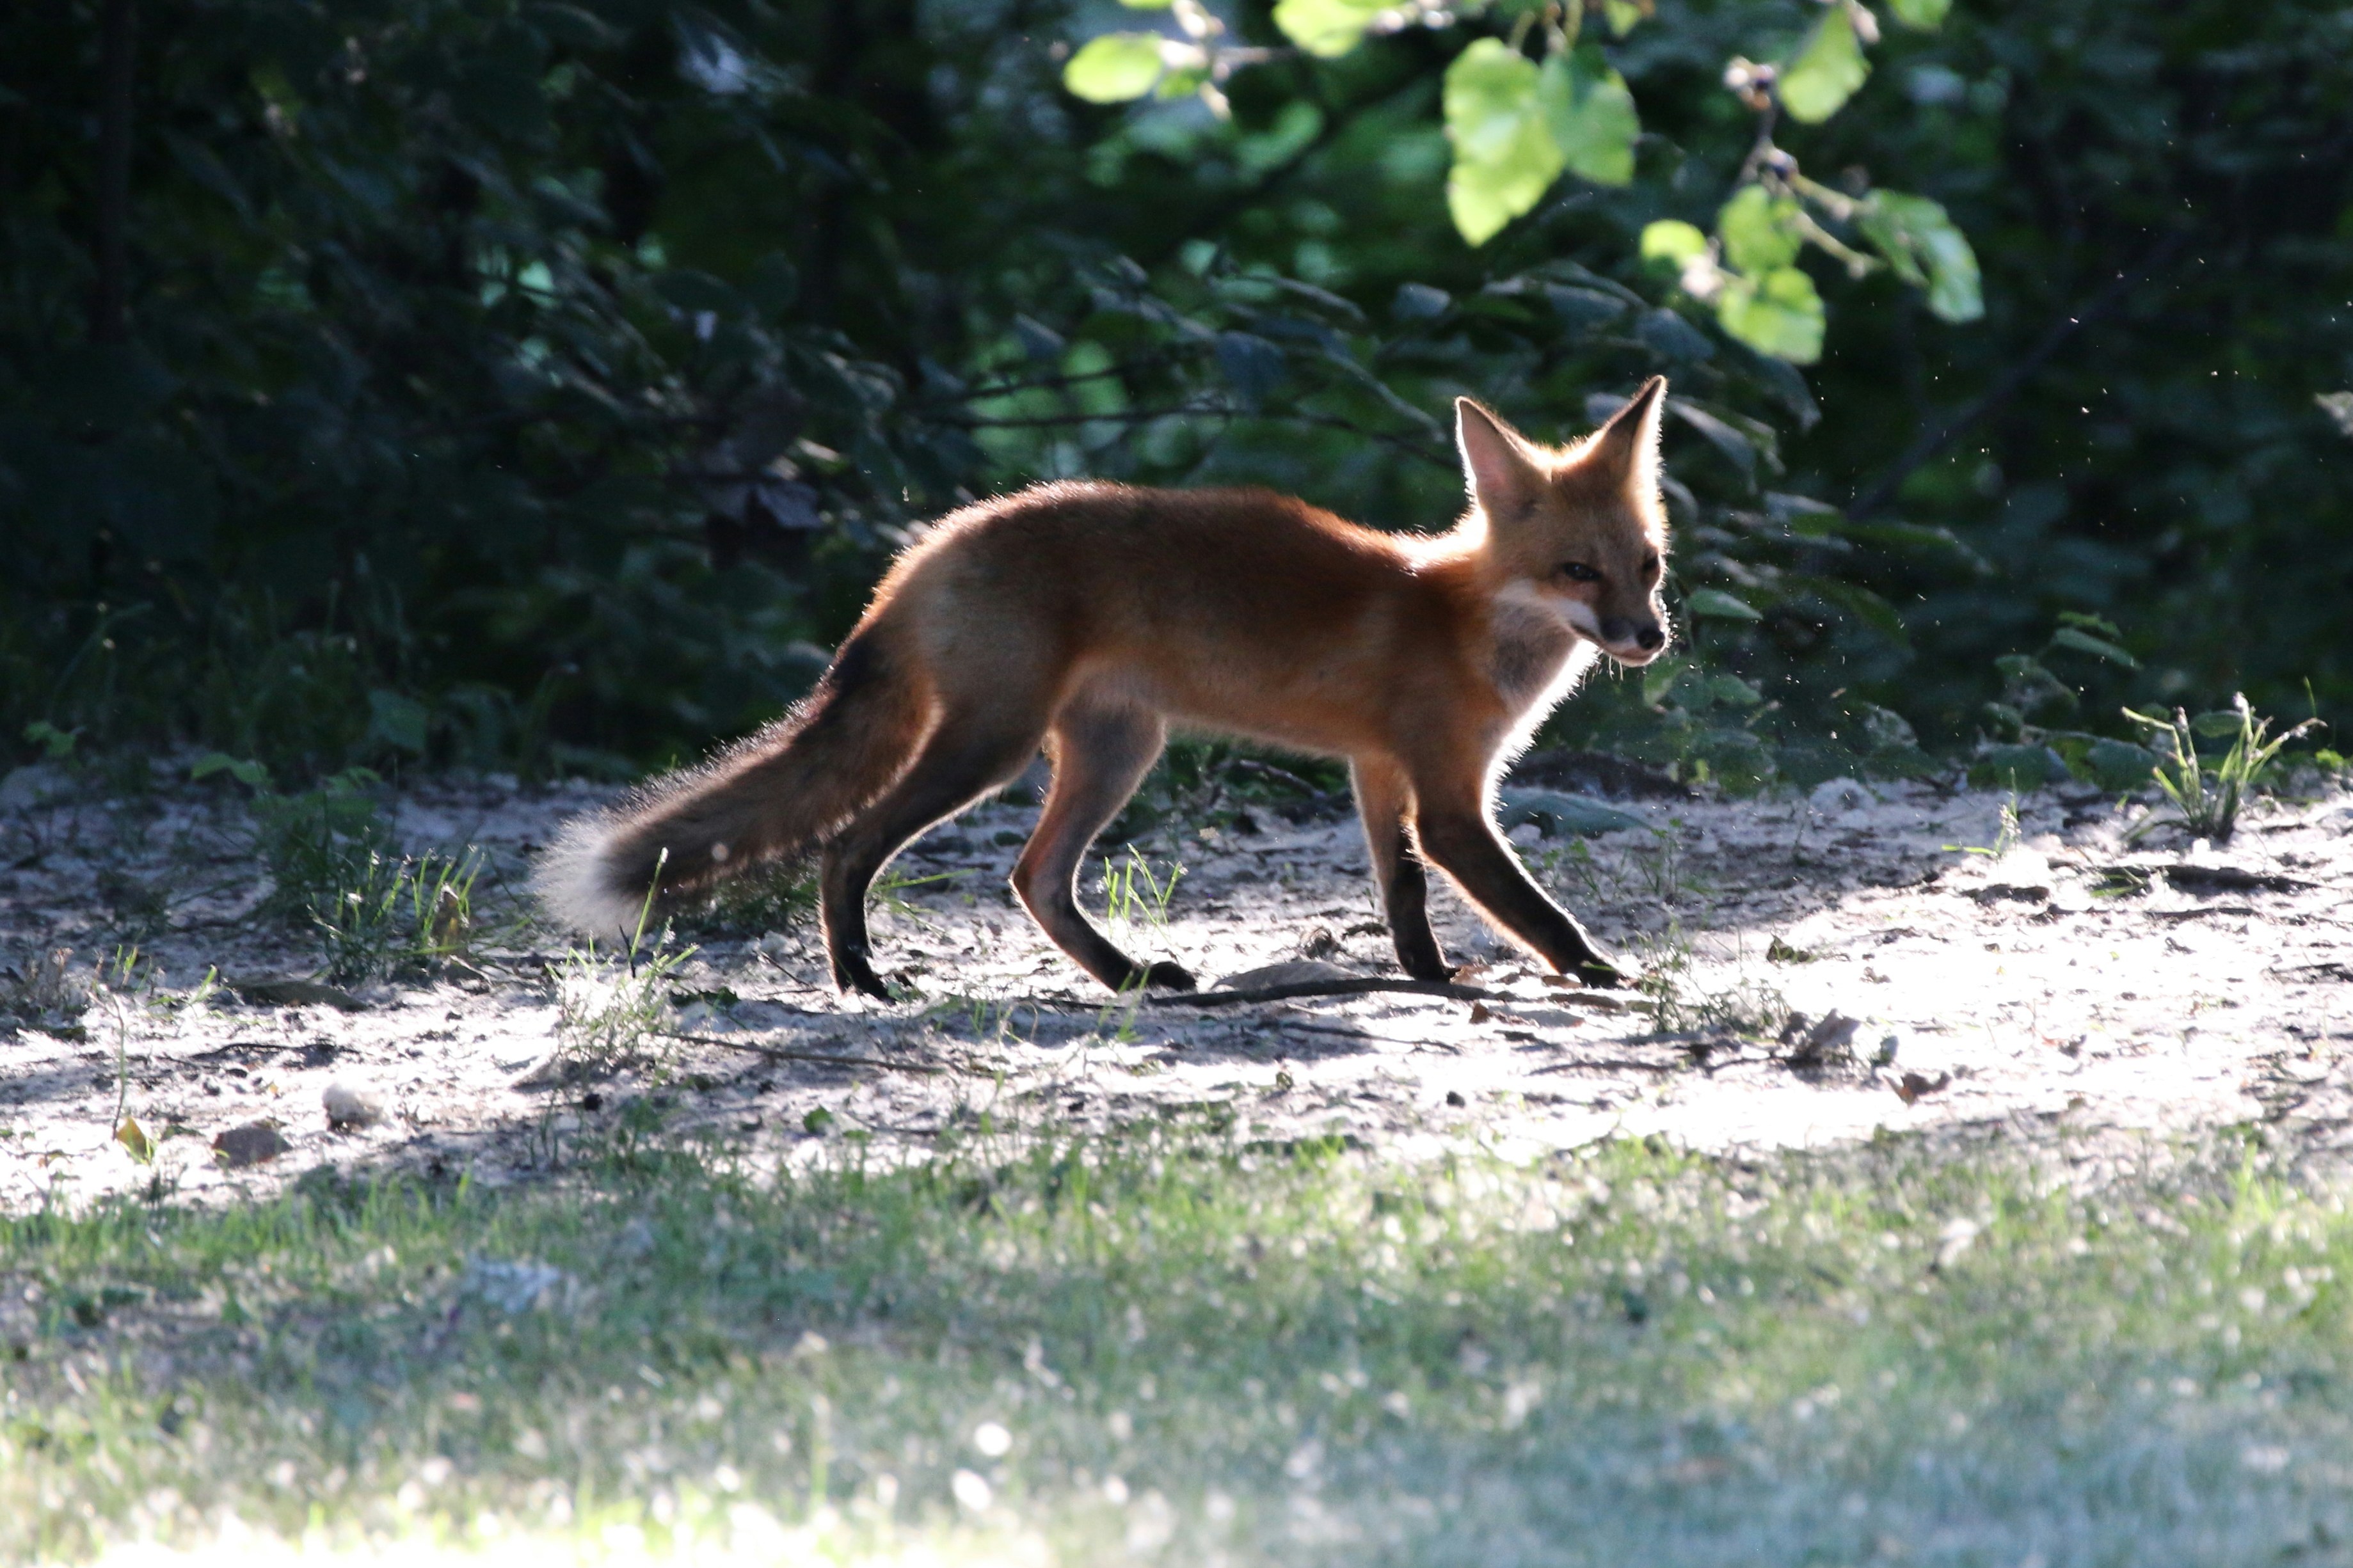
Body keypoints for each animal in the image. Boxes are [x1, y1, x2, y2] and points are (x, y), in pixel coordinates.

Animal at [537, 376, 1675, 1000]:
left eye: (1648, 565)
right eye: (1579, 572)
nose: (1650, 637)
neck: (1464, 618)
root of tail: (928, 545)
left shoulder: (1375, 769)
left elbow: (1400, 897)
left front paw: (1429, 976)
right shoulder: (1445, 797)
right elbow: (1532, 909)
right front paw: (1605, 976)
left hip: (1115, 751)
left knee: (1033, 877)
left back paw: (1125, 978)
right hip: (993, 746)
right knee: (848, 844)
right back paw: (861, 976)